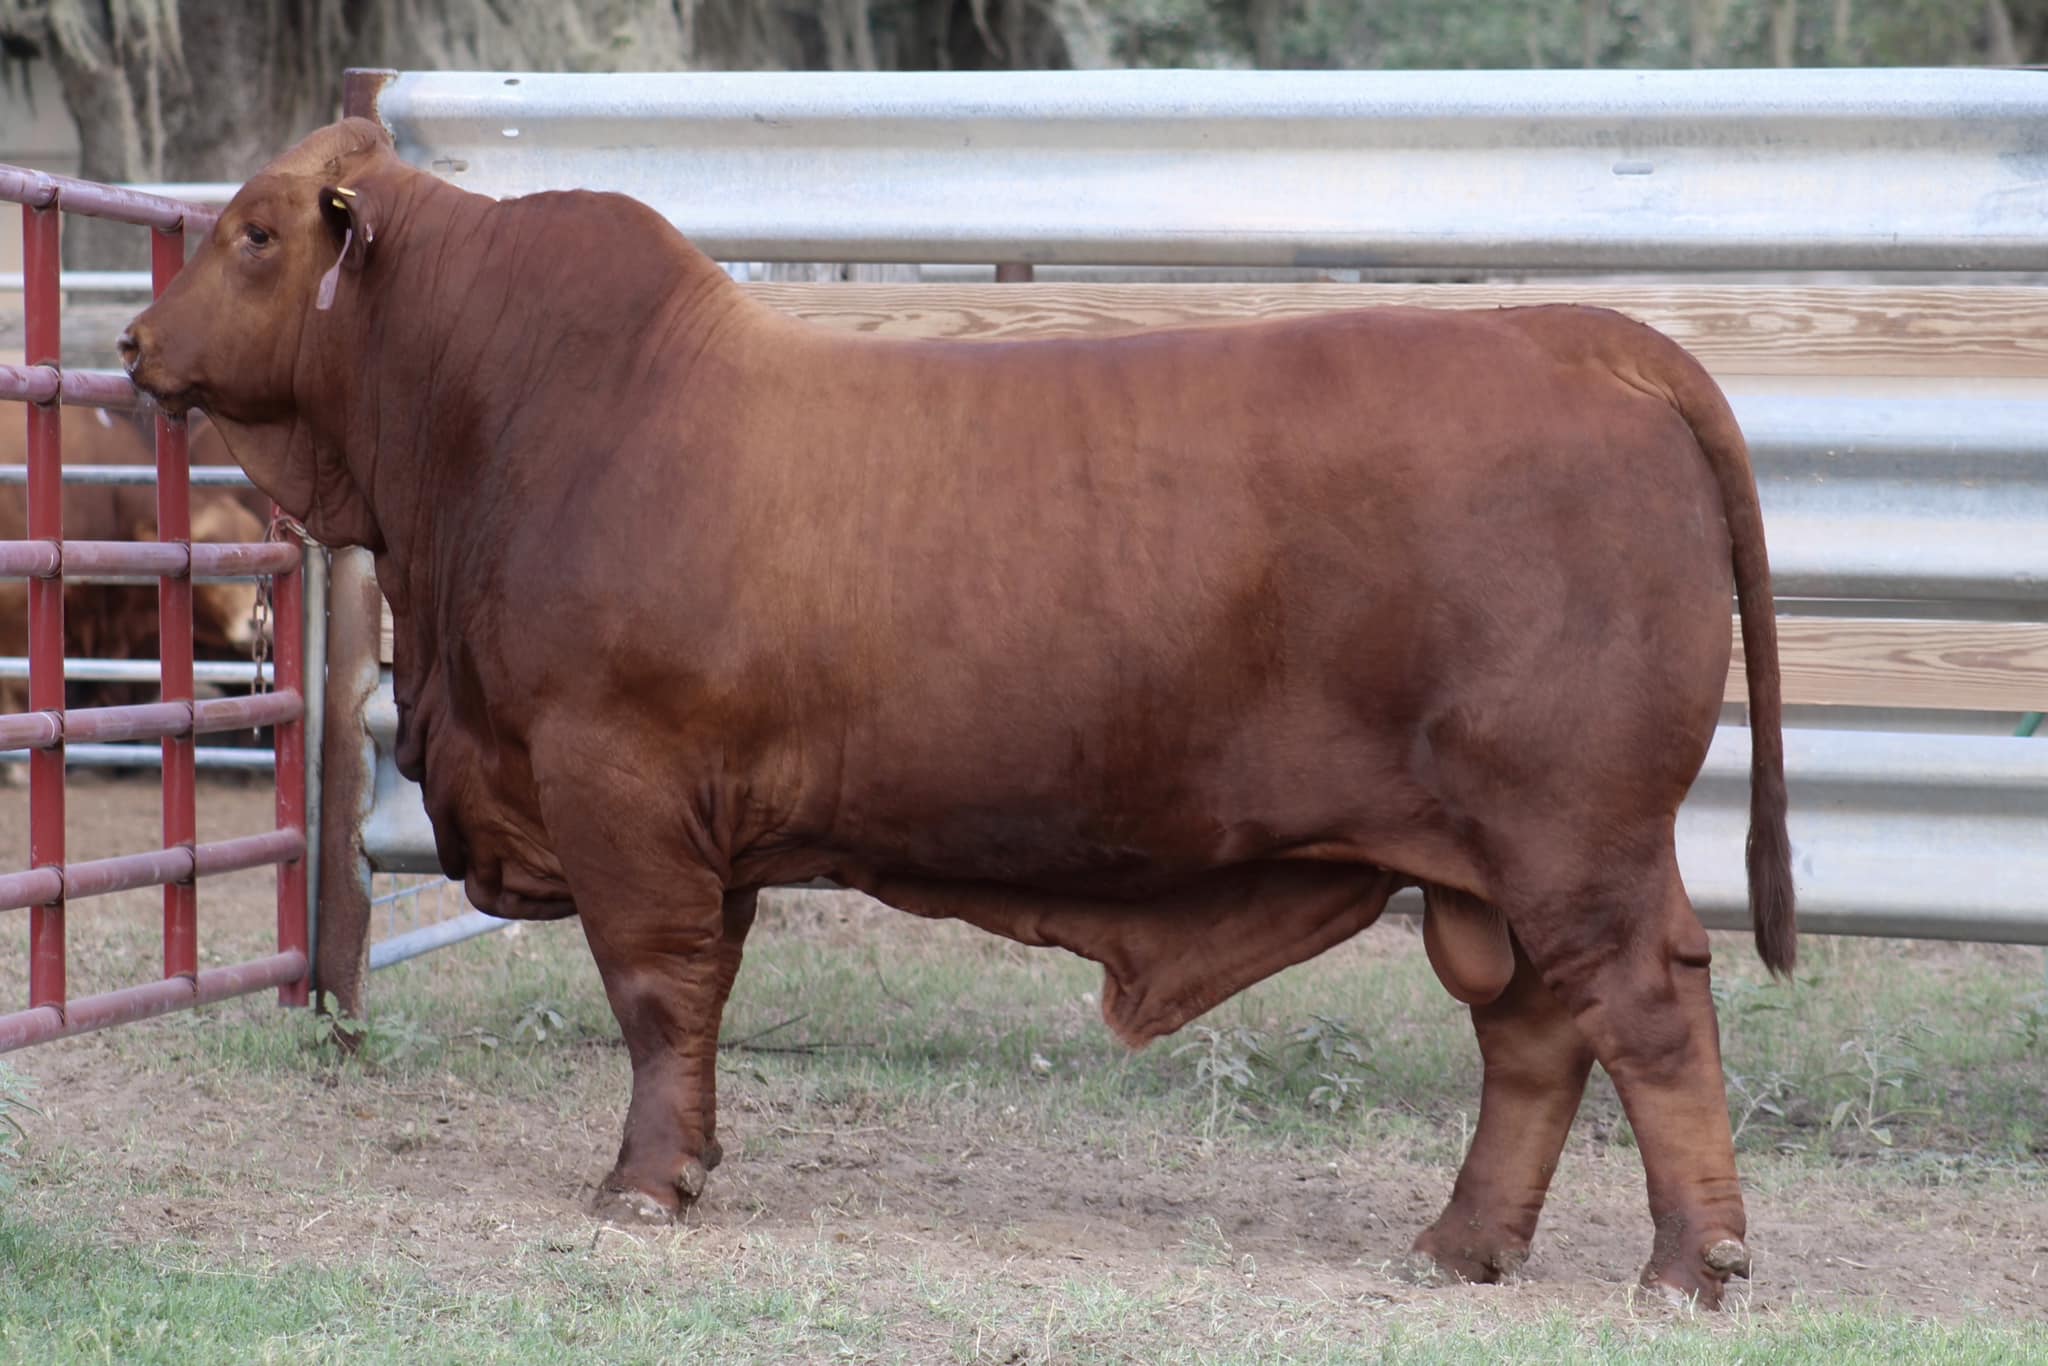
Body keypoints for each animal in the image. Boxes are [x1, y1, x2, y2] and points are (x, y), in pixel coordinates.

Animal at [119, 118, 1795, 1308]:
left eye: (255, 232)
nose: (133, 346)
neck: (497, 424)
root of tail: (1589, 337)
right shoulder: (706, 824)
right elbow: (701, 999)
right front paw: (695, 1161)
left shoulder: (619, 781)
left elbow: (653, 994)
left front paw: (642, 1189)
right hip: (1490, 862)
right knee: (1533, 1033)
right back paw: (1461, 1242)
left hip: (1573, 831)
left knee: (1645, 1006)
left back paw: (1685, 1264)